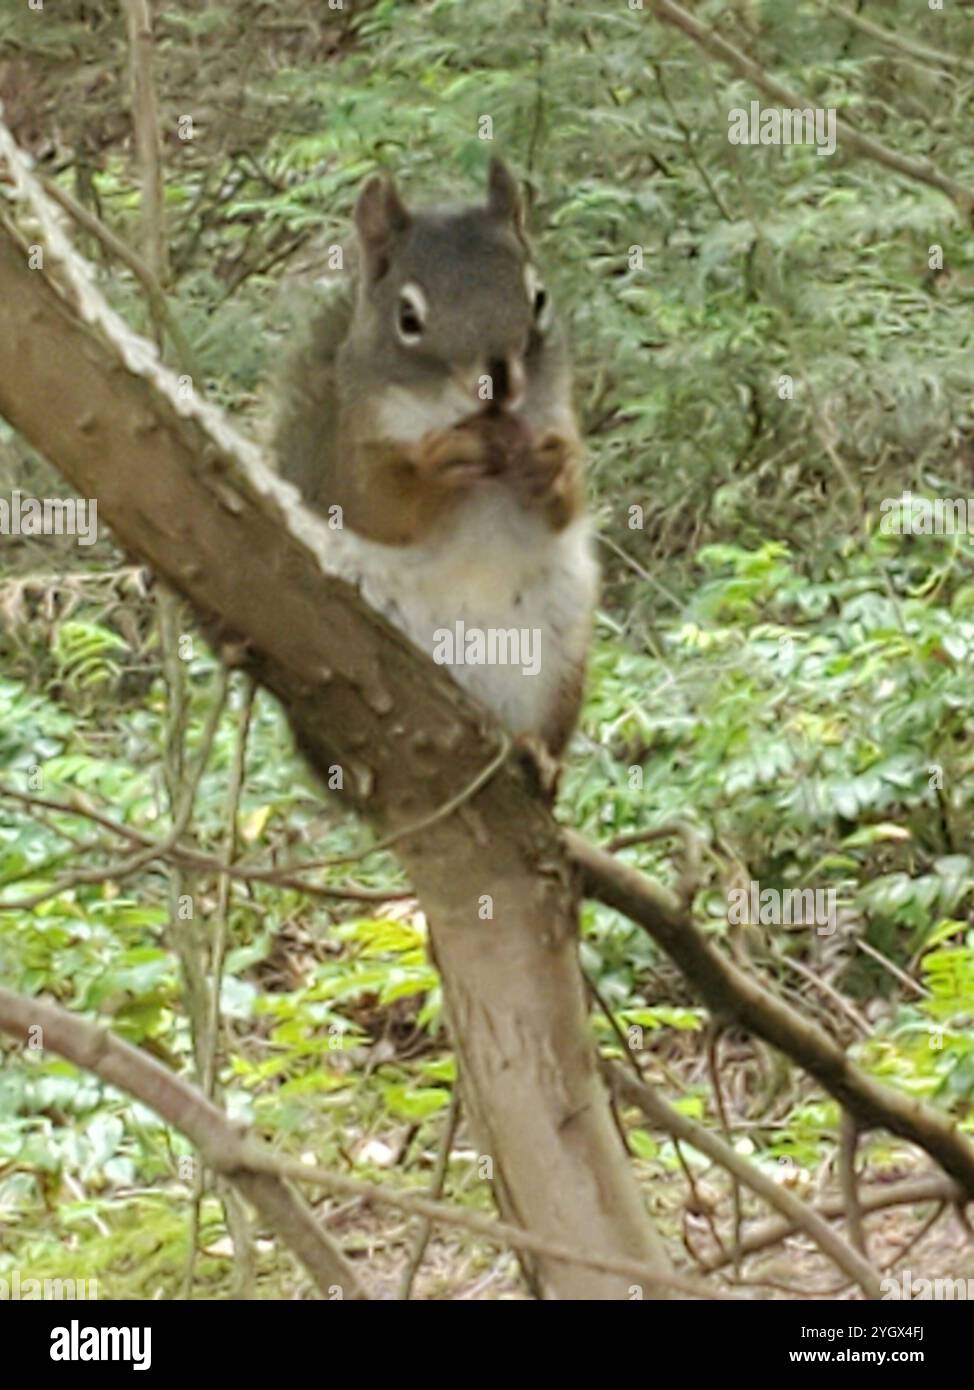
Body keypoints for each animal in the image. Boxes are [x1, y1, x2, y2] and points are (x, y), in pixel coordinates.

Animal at [273, 158, 598, 762]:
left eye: (539, 297)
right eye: (407, 317)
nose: (498, 380)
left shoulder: (560, 414)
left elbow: (568, 503)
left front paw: (552, 467)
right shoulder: (346, 450)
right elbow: (377, 503)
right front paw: (439, 462)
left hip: (561, 657)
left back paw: (538, 757)